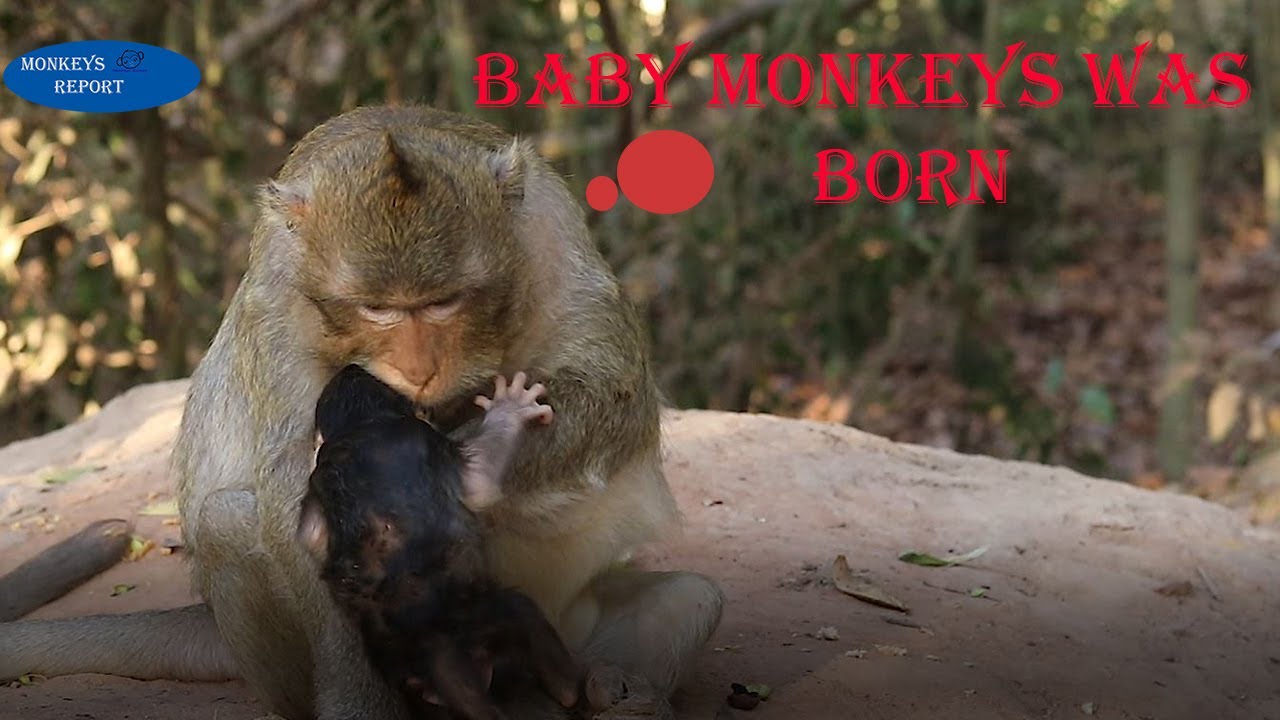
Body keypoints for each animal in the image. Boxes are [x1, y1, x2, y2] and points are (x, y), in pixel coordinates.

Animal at [298, 364, 578, 720]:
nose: (351, 366)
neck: (363, 427)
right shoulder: (423, 439)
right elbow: (481, 483)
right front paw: (511, 407)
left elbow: (309, 535)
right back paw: (568, 690)